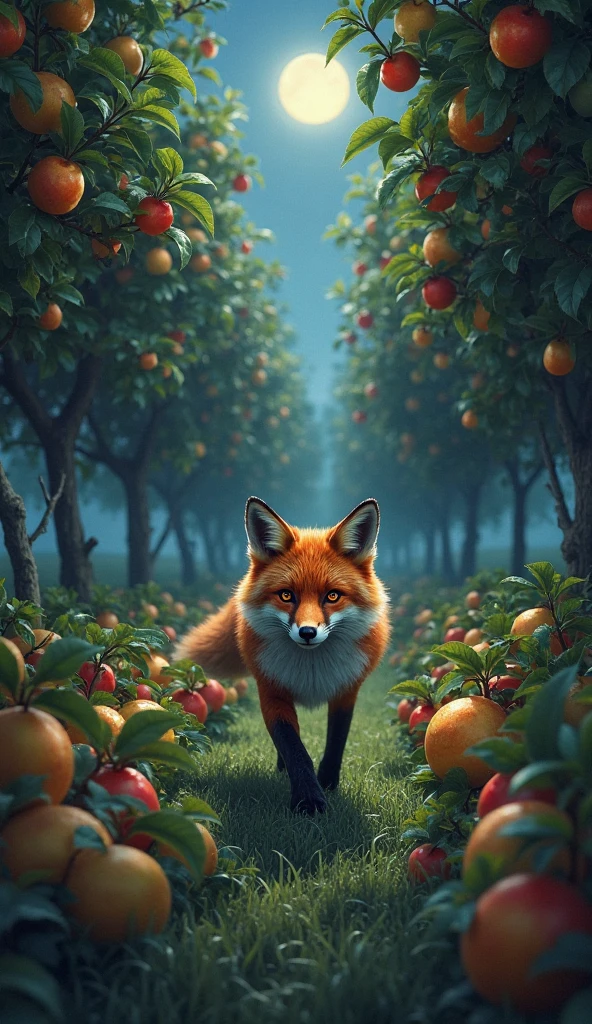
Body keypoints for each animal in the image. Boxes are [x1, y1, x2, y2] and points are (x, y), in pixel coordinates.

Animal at [175, 496, 390, 814]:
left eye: (333, 596)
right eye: (287, 595)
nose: (307, 632)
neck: (312, 671)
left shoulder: (346, 690)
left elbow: (336, 741)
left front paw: (328, 784)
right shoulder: (271, 691)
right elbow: (294, 747)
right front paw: (309, 800)